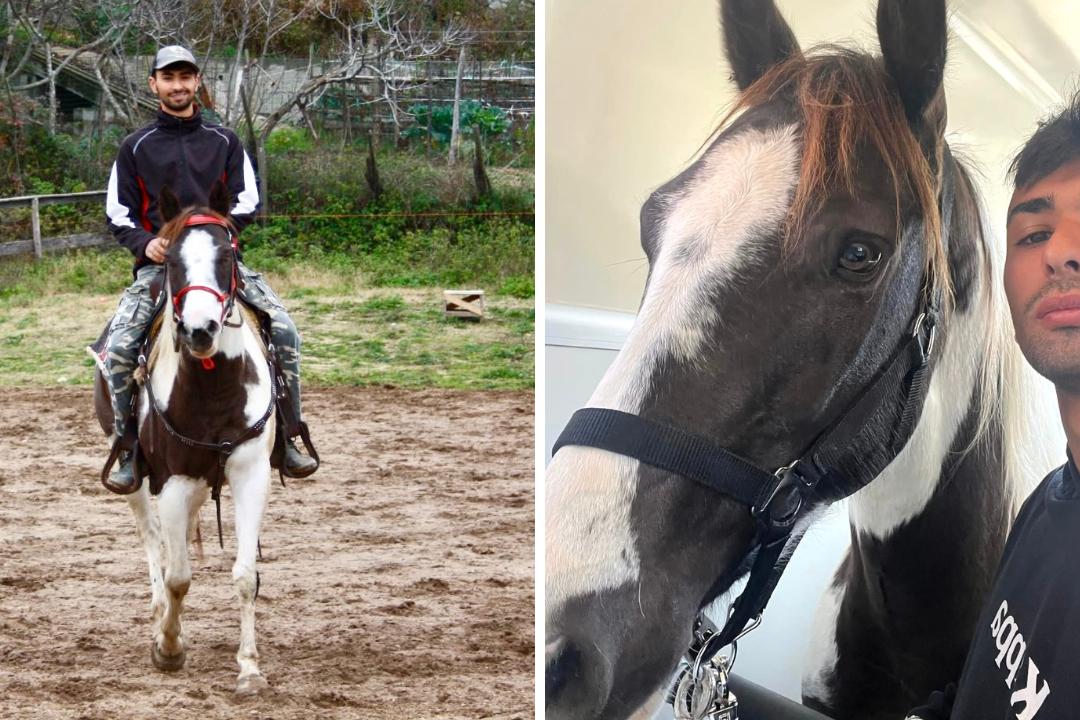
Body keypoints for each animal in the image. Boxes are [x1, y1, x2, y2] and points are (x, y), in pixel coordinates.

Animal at [93, 182, 276, 695]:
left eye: (226, 256)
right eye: (171, 259)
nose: (199, 330)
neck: (213, 388)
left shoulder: (250, 475)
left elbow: (245, 575)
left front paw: (249, 668)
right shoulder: (173, 482)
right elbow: (177, 577)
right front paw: (169, 647)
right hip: (137, 478)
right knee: (152, 541)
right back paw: (159, 615)